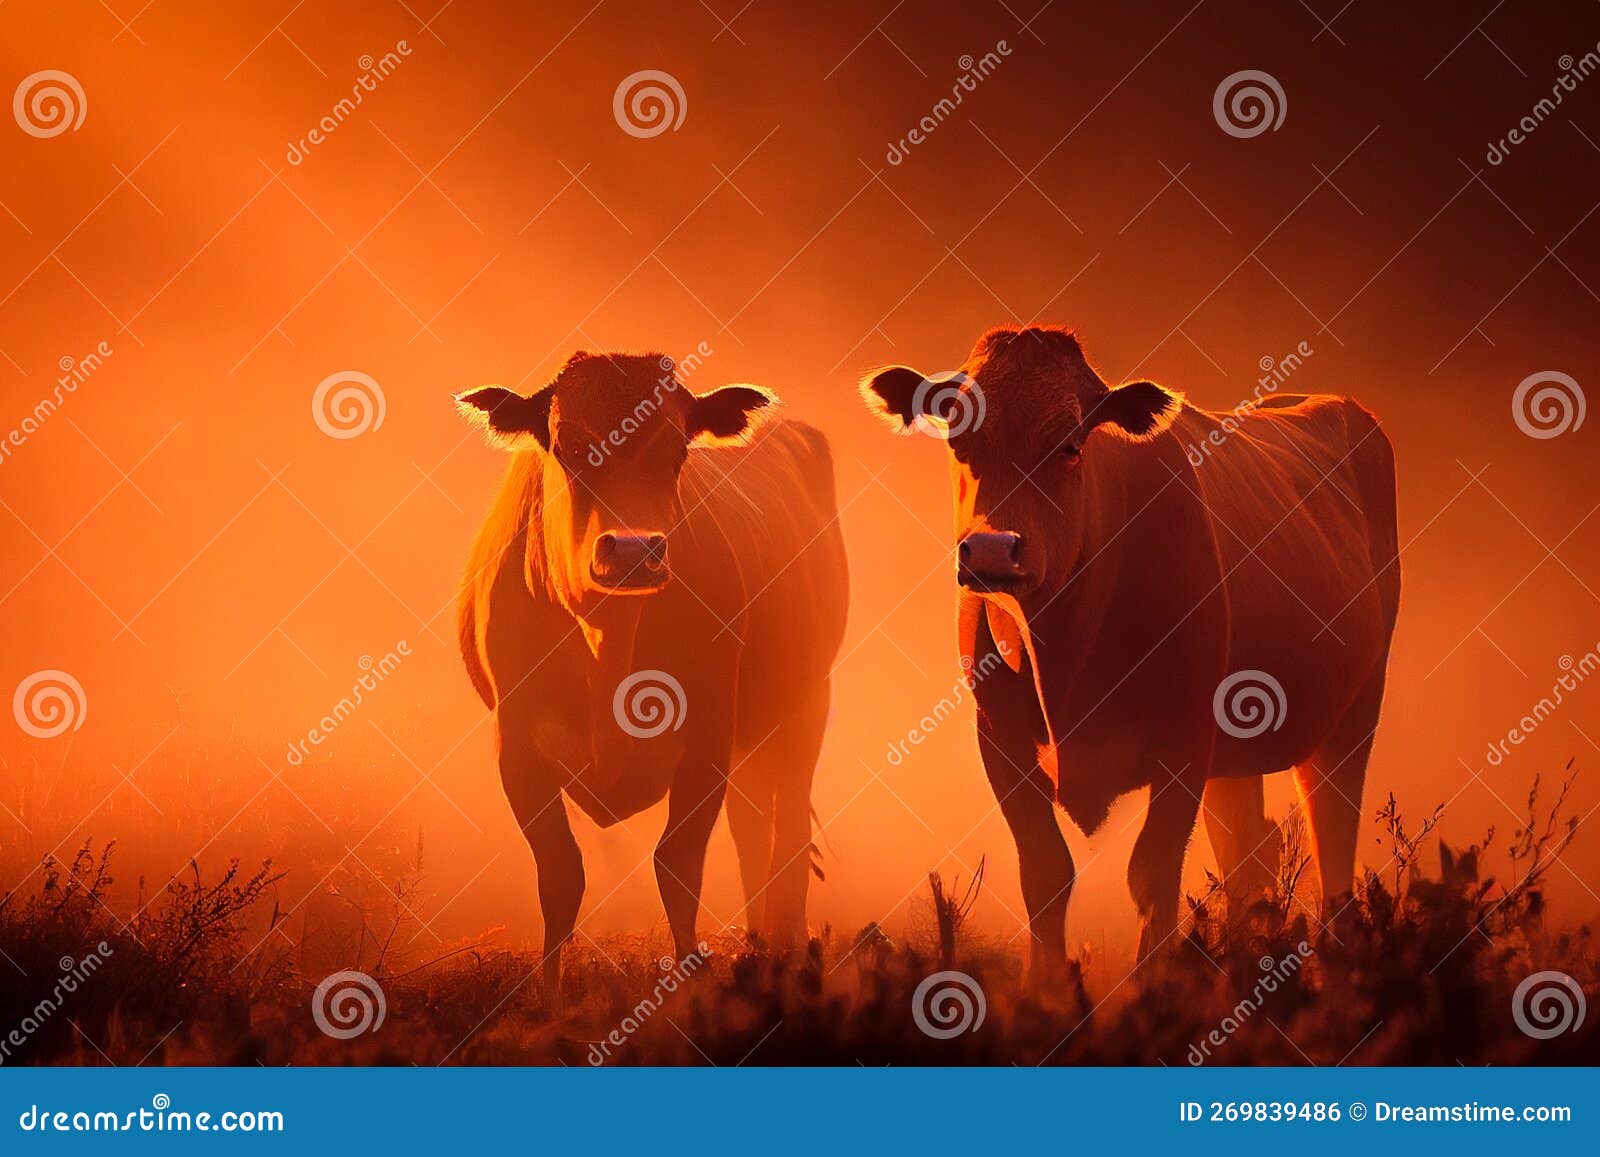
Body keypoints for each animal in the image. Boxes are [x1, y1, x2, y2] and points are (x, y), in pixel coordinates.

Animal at [457, 351, 848, 1003]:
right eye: (567, 446)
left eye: (676, 448)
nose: (633, 549)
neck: (608, 642)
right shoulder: (516, 747)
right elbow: (560, 874)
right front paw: (550, 998)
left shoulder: (709, 738)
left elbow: (677, 865)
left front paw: (689, 985)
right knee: (753, 837)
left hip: (804, 703)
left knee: (785, 841)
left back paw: (784, 952)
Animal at [860, 325, 1399, 978]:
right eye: (959, 440)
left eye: (1070, 447)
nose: (991, 549)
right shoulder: (998, 736)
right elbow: (1045, 873)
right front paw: (1046, 990)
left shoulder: (1185, 738)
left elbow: (1153, 873)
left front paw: (1152, 985)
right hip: (1237, 751)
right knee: (1249, 856)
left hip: (1354, 712)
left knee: (1332, 840)